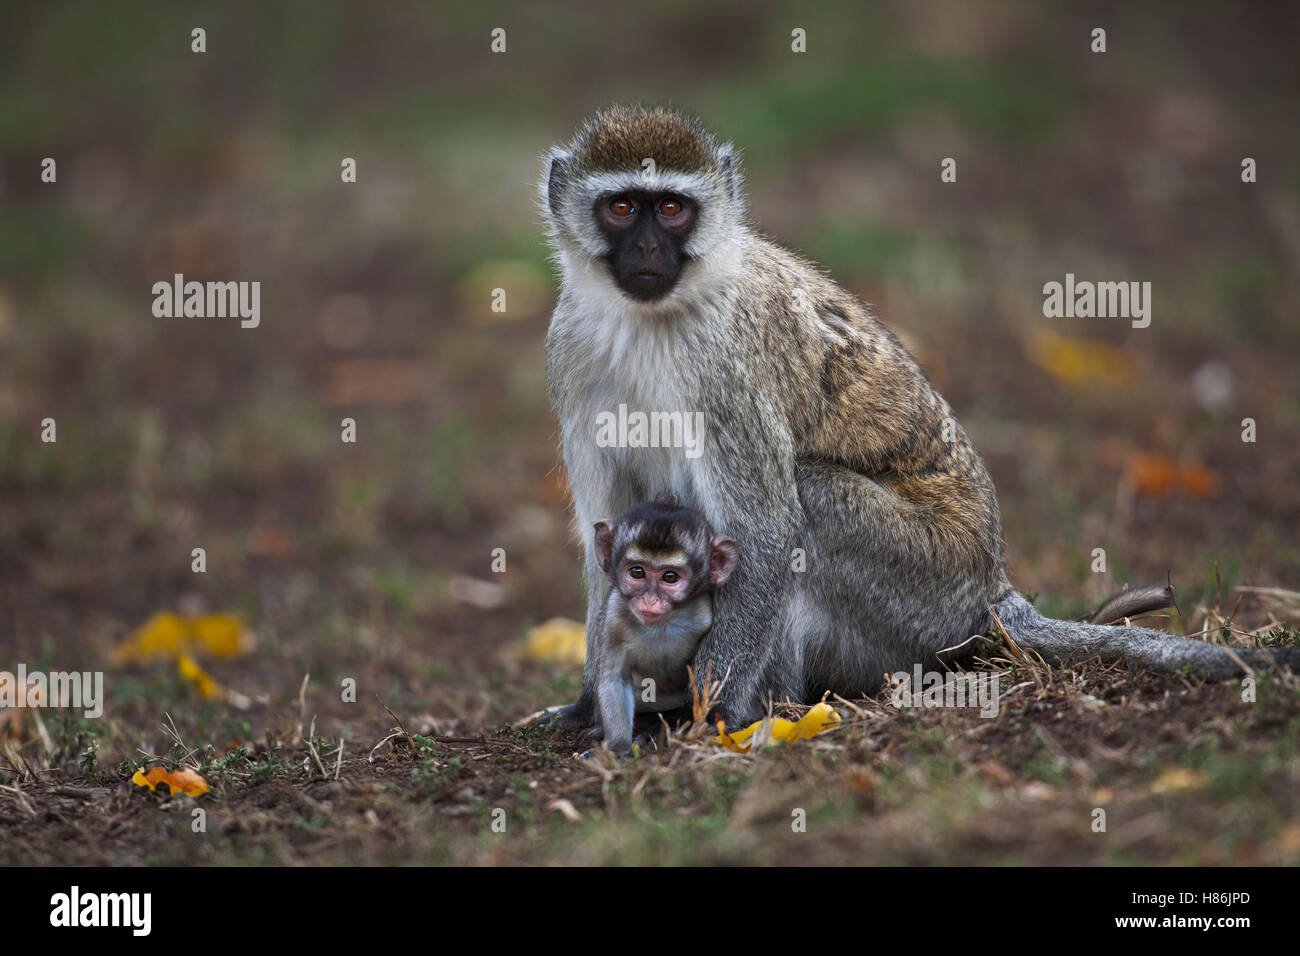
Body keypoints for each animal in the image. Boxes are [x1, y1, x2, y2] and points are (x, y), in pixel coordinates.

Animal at [585, 496, 739, 756]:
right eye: (637, 572)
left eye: (670, 577)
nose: (649, 600)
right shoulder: (614, 615)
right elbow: (614, 681)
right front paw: (617, 748)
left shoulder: (703, 614)